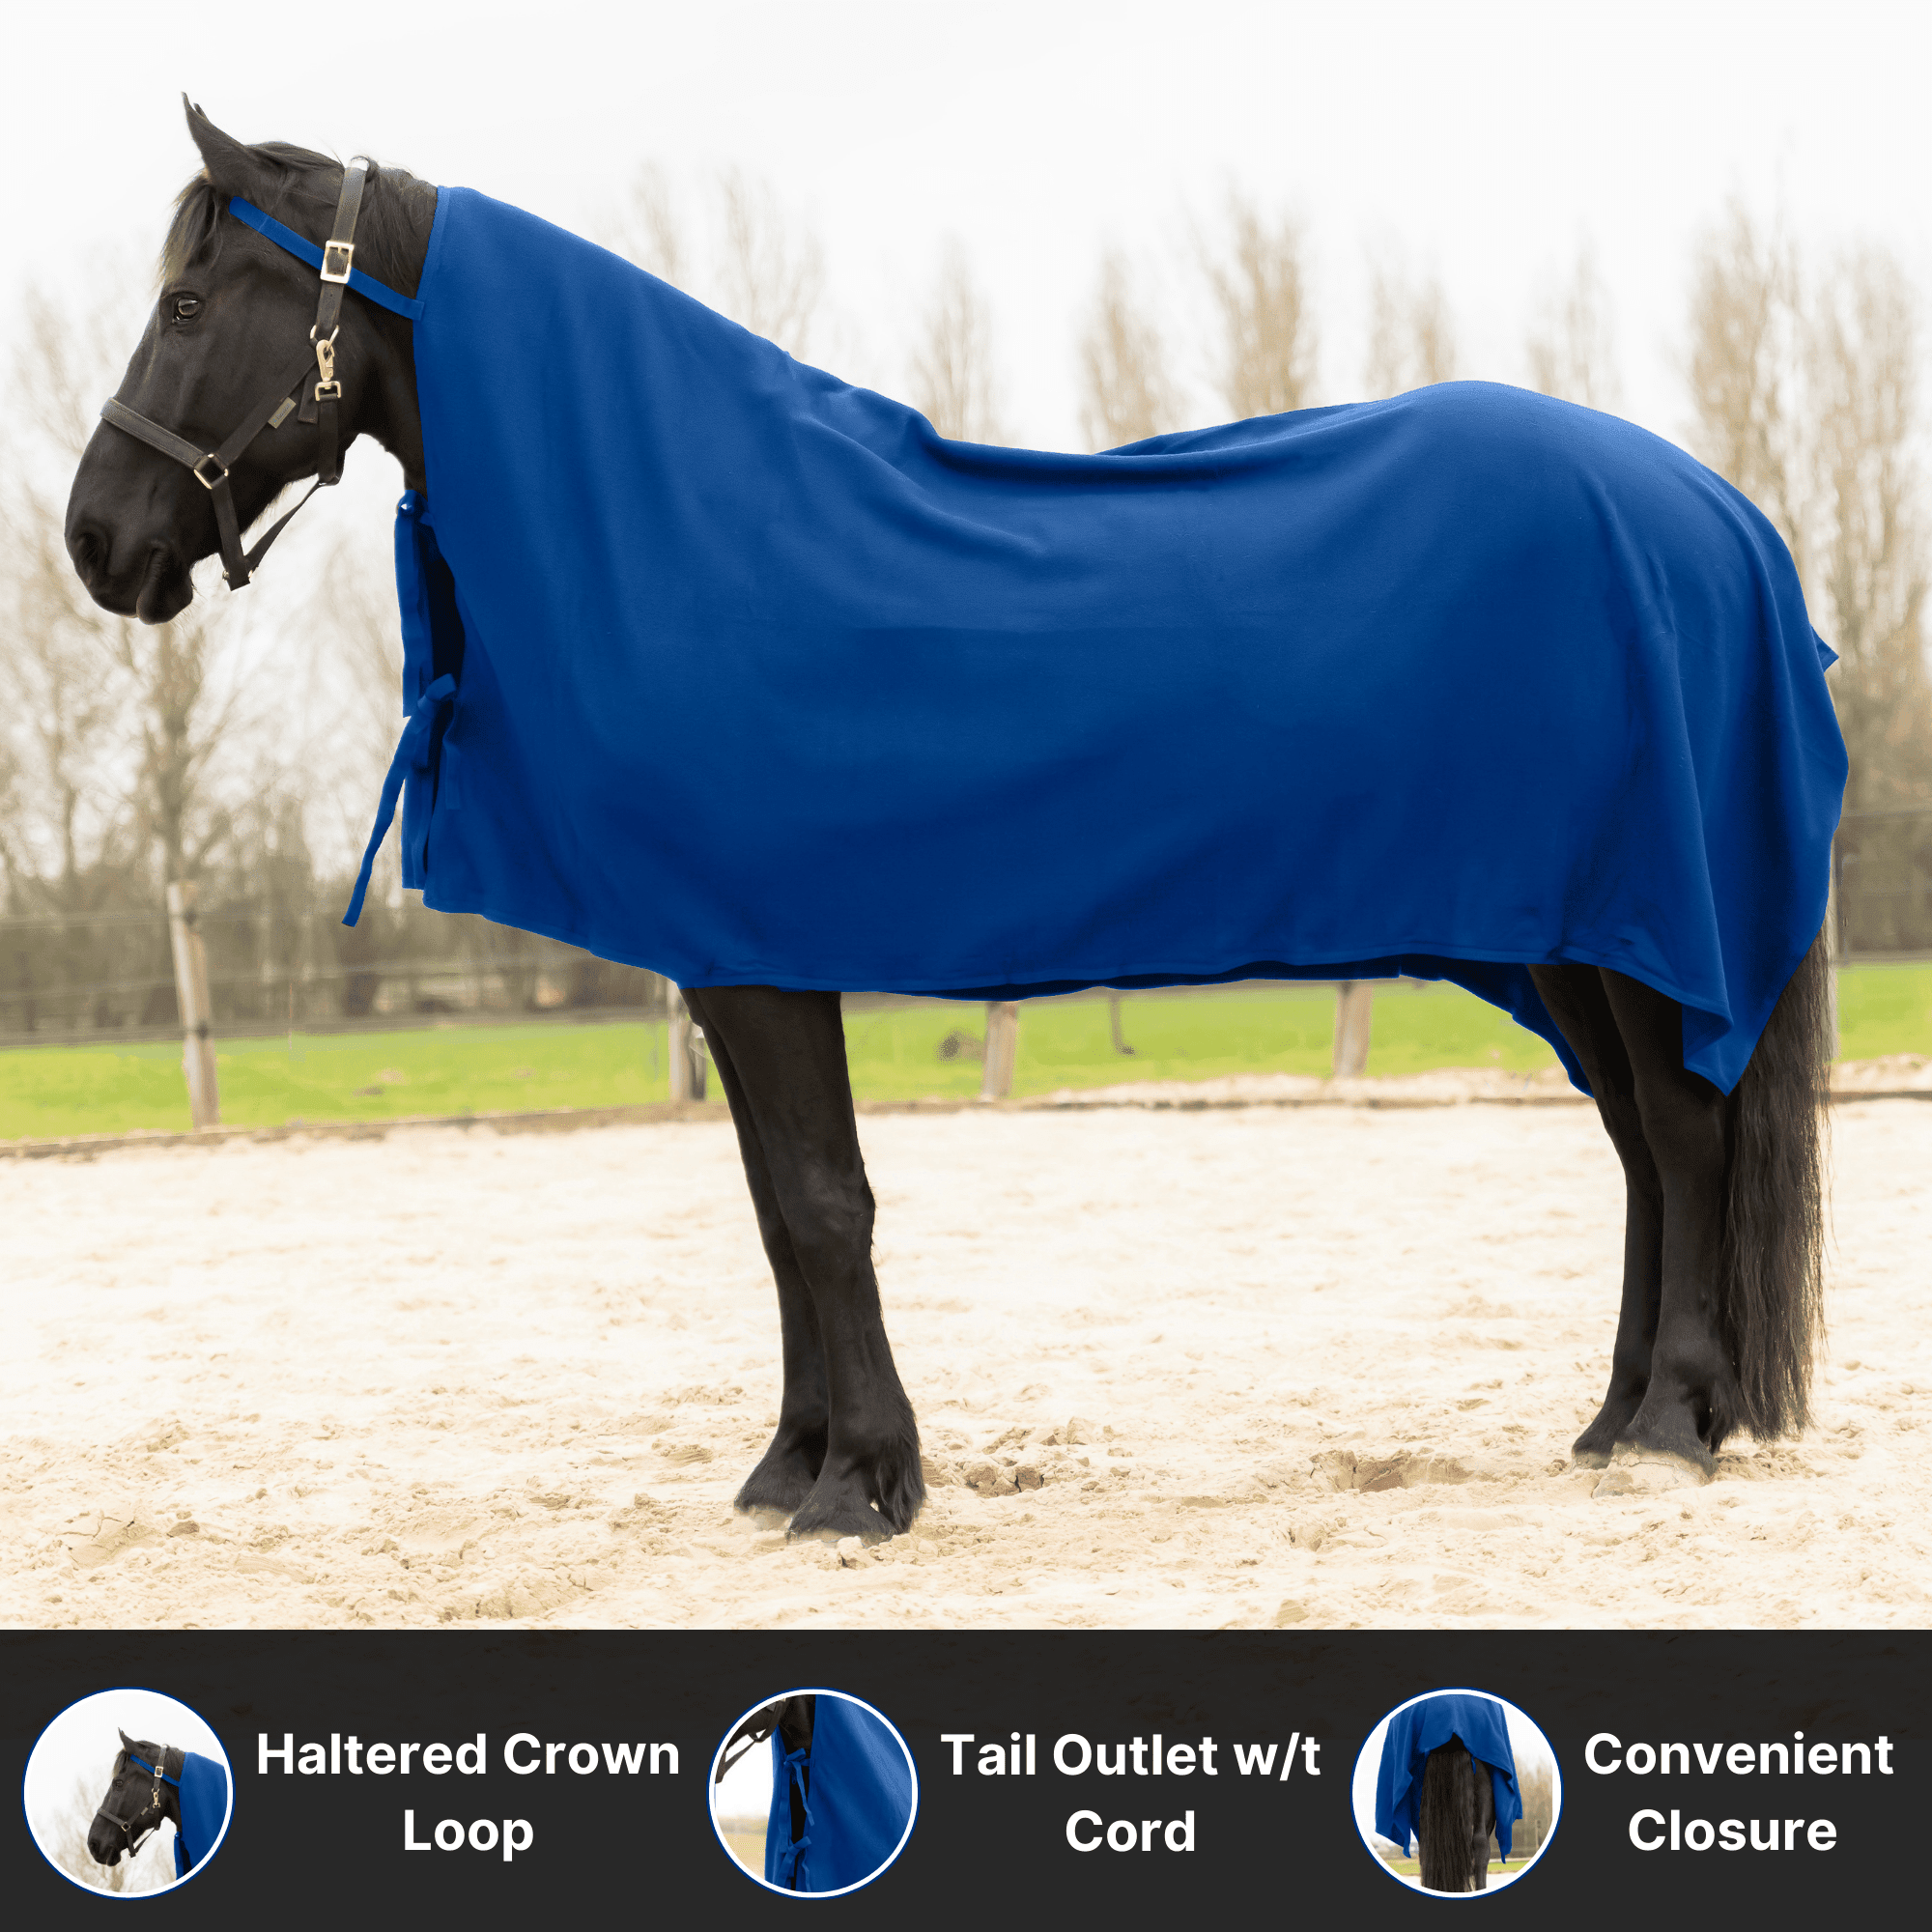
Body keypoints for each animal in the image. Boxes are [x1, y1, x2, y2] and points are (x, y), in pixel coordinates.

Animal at [66, 103, 1836, 1545]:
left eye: (186, 304)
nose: (96, 537)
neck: (699, 533)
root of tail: (1711, 510)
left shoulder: (766, 958)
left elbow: (821, 1202)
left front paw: (861, 1485)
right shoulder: (730, 961)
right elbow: (777, 1212)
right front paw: (792, 1466)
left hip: (1635, 922)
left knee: (1683, 1135)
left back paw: (1671, 1428)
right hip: (1566, 939)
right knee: (1642, 1144)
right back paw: (1614, 1422)